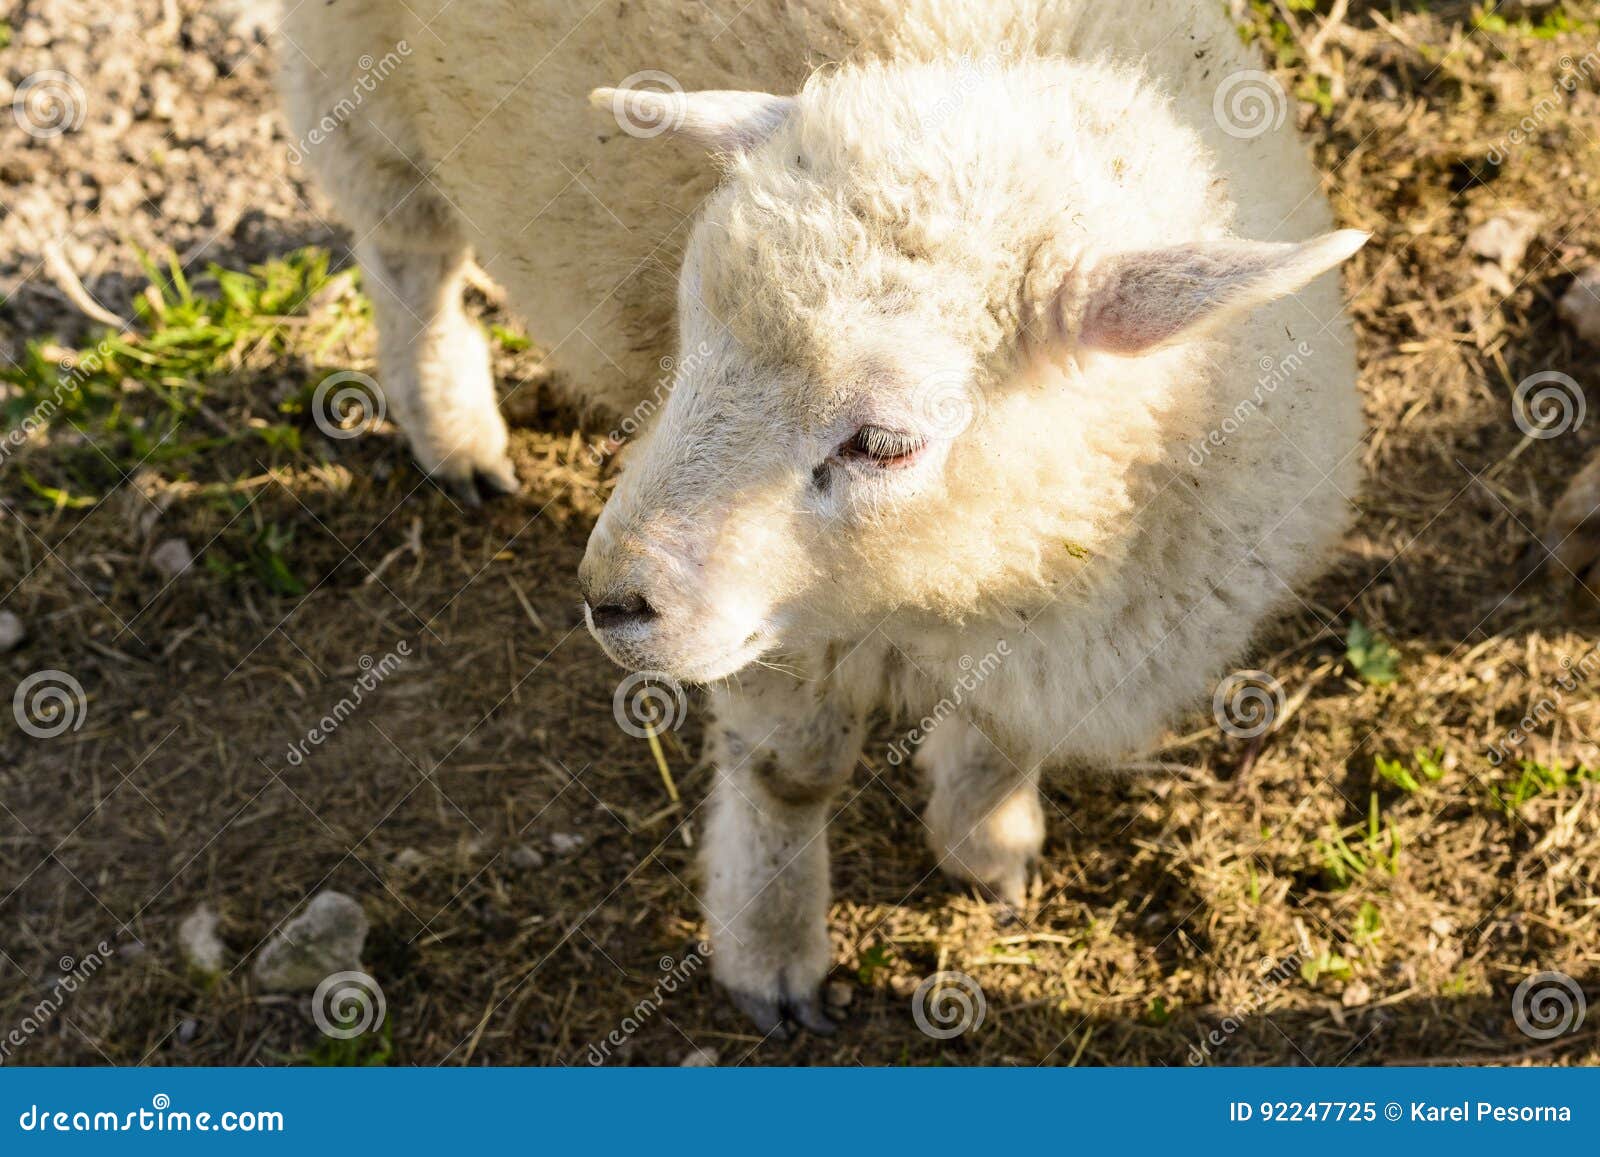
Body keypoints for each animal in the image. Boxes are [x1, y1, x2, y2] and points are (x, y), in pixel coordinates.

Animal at [279, 0, 1366, 1036]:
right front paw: (770, 951)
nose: (609, 599)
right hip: (361, 84)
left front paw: (985, 841)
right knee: (407, 254)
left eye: (882, 441)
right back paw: (449, 423)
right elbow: (789, 776)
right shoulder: (788, 635)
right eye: (687, 338)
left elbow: (1000, 733)